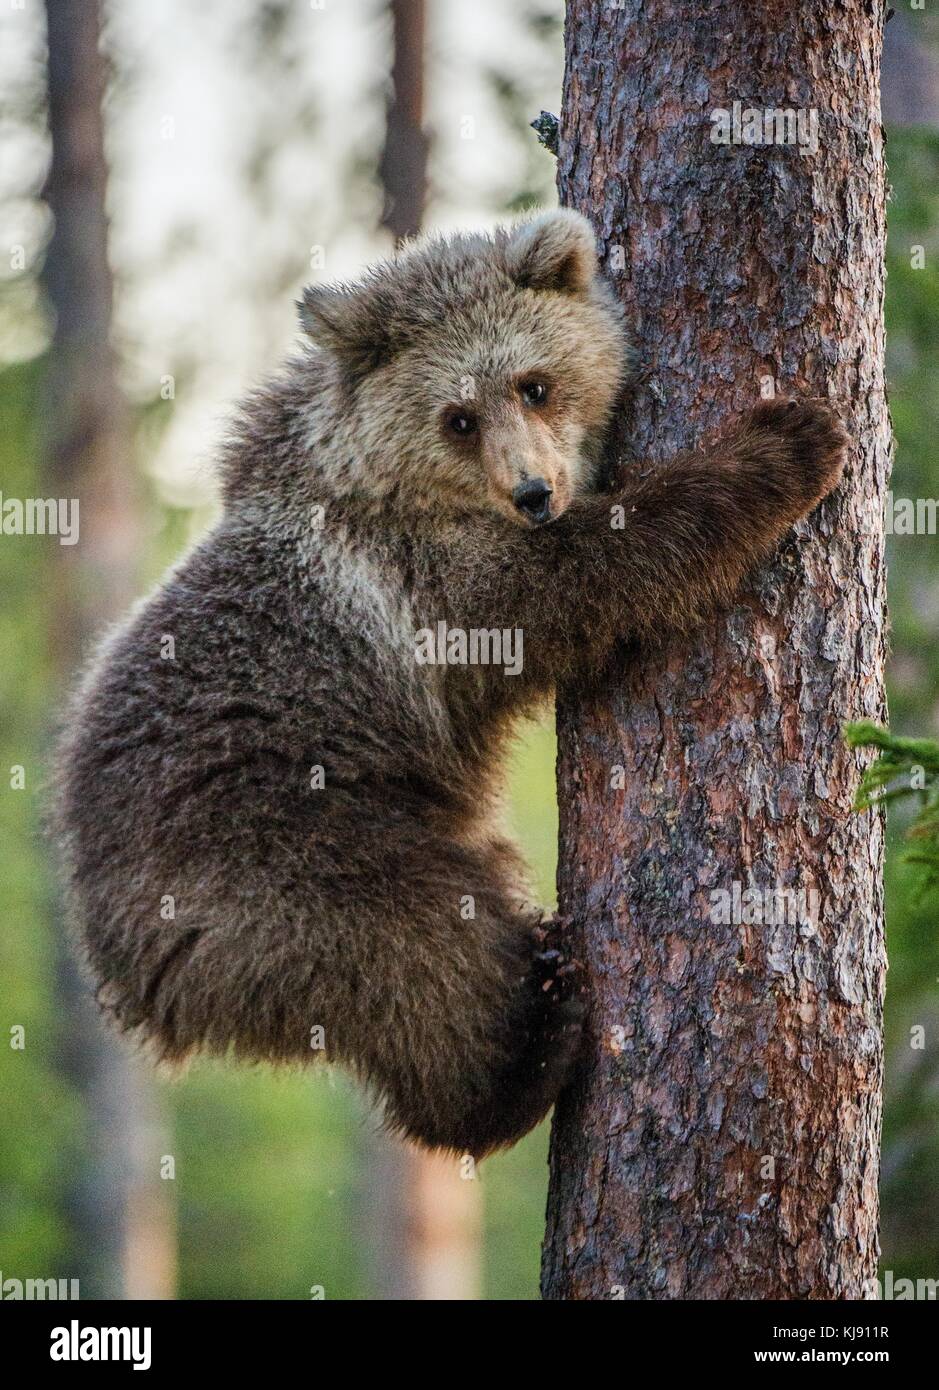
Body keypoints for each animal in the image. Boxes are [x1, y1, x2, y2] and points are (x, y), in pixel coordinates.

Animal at [54, 209, 847, 1157]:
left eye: (535, 384)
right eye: (458, 418)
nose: (534, 491)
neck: (393, 485)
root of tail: (119, 966)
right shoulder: (430, 585)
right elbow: (593, 570)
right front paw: (789, 441)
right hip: (264, 847)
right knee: (413, 940)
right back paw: (526, 1048)